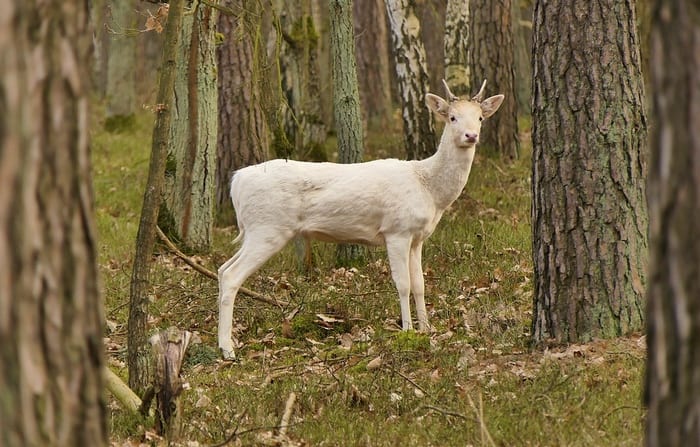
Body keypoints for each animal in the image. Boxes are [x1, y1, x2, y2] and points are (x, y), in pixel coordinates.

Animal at [217, 80, 504, 358]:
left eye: (480, 117)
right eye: (452, 117)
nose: (471, 136)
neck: (429, 189)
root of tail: (237, 182)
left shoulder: (417, 237)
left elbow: (420, 284)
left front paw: (427, 328)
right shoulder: (396, 230)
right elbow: (403, 284)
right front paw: (408, 330)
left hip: (256, 230)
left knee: (222, 269)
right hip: (268, 227)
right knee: (231, 275)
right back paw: (227, 349)